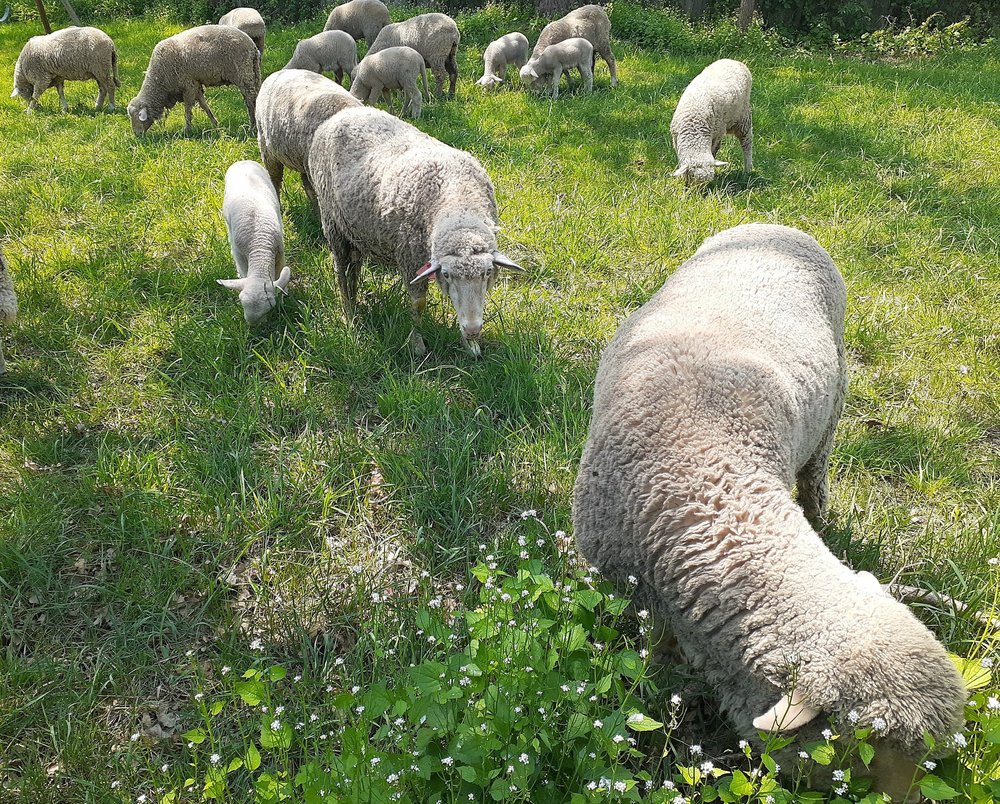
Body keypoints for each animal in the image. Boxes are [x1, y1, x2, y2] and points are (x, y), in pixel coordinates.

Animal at [127, 25, 261, 136]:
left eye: (138, 116)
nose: (137, 135)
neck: (160, 81)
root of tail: (252, 46)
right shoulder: (196, 84)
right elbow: (204, 106)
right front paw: (215, 124)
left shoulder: (188, 85)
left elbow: (187, 109)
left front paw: (187, 130)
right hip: (253, 73)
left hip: (243, 74)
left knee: (250, 100)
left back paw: (252, 127)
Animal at [218, 161, 290, 325]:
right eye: (240, 301)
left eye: (271, 306)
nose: (254, 326)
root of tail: (243, 161)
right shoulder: (239, 254)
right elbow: (243, 271)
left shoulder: (280, 253)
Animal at [308, 106, 525, 357]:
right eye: (447, 275)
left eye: (488, 272)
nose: (472, 330)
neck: (459, 204)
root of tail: (343, 113)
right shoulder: (409, 257)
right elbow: (418, 304)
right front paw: (417, 342)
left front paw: (469, 345)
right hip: (333, 223)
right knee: (341, 271)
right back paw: (349, 314)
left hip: (355, 231)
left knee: (354, 268)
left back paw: (354, 301)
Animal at [670, 58, 752, 187]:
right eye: (692, 176)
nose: (697, 192)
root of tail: (734, 61)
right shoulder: (676, 138)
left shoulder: (716, 135)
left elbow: (714, 150)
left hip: (742, 118)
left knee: (747, 143)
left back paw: (747, 169)